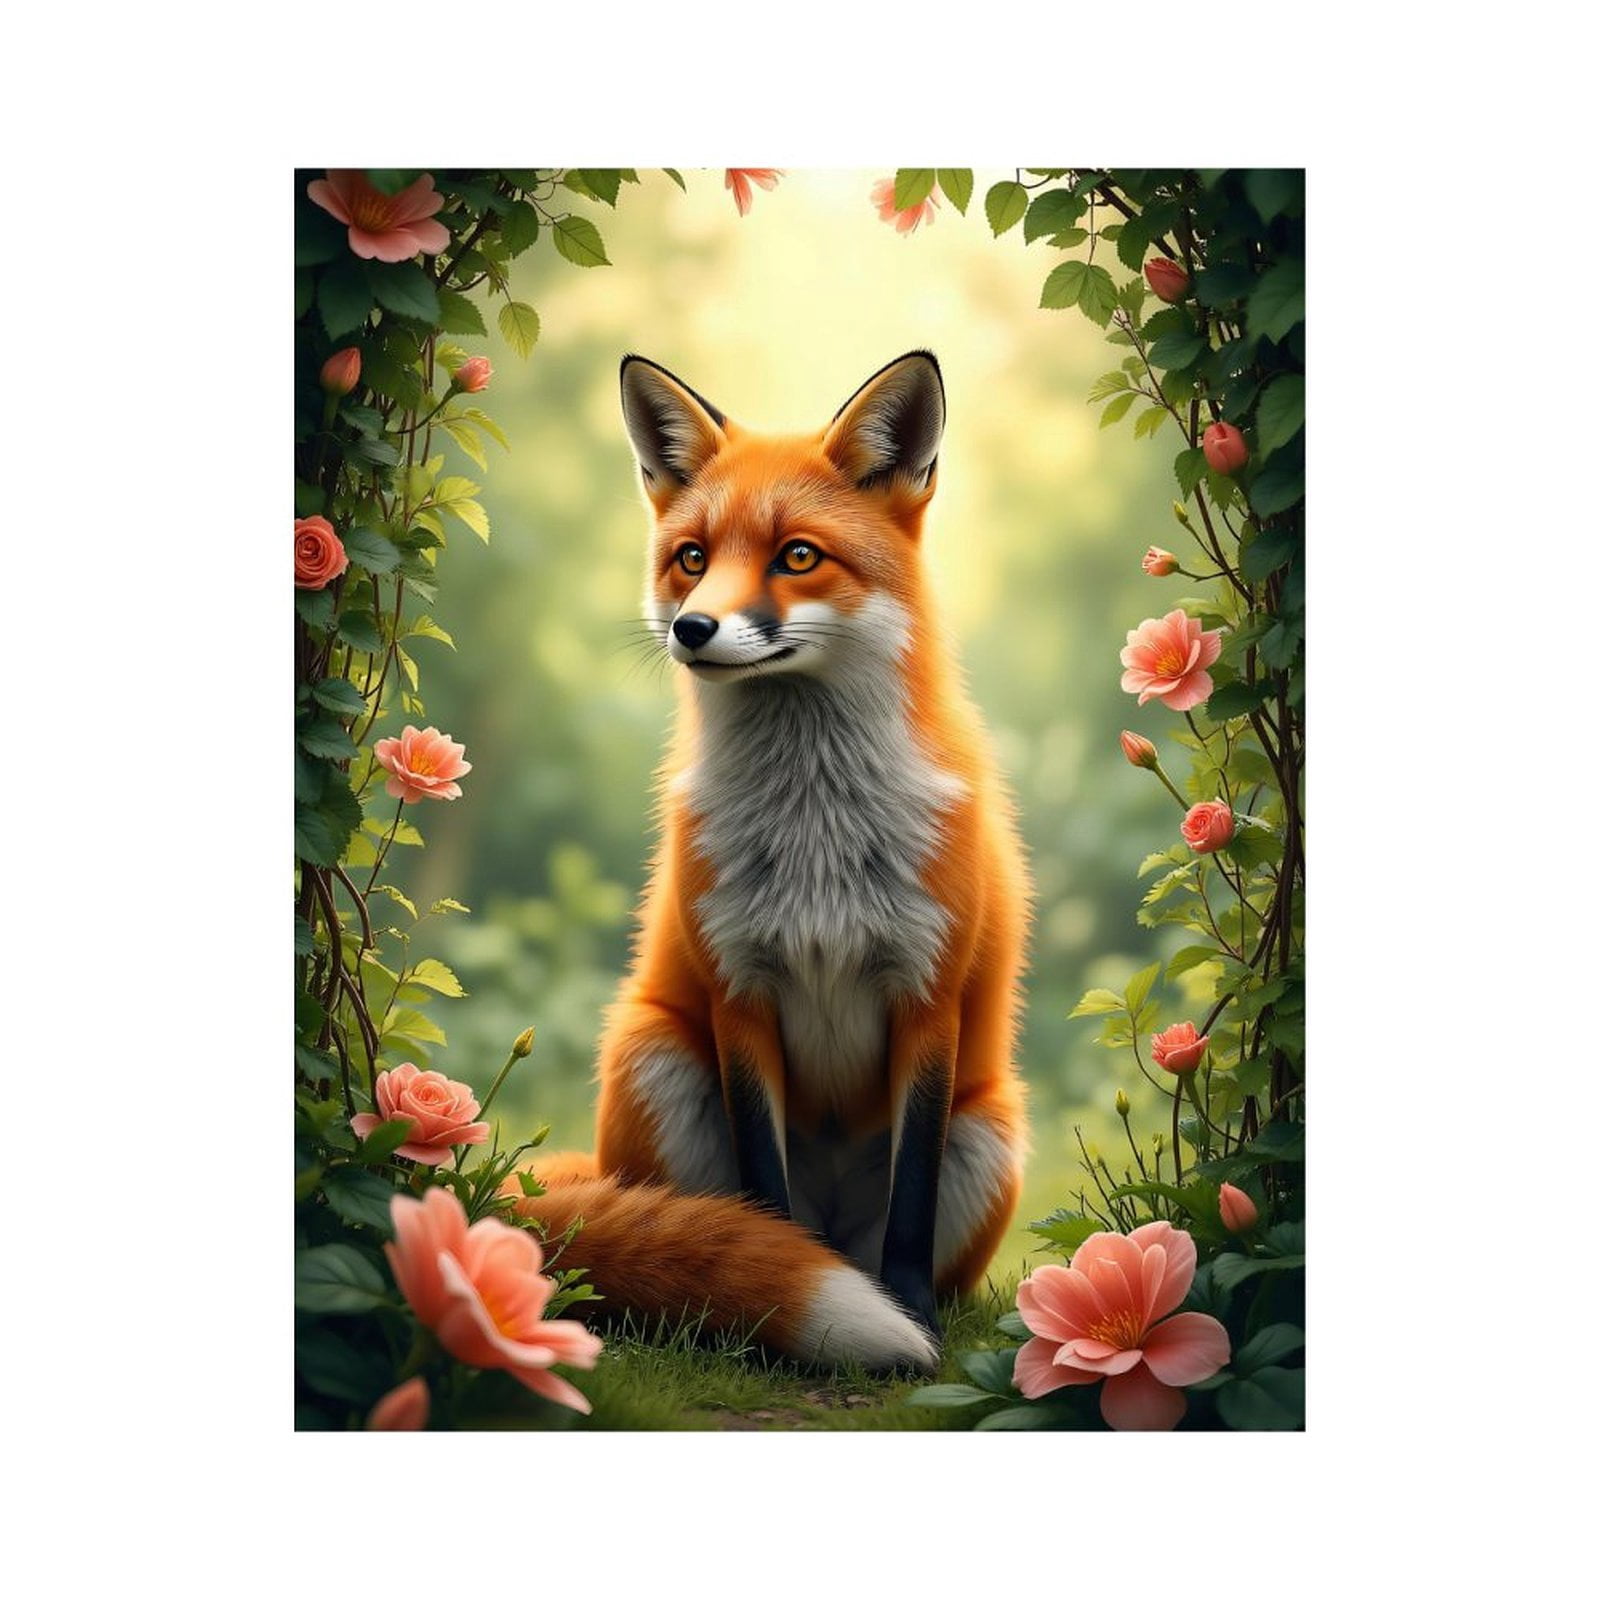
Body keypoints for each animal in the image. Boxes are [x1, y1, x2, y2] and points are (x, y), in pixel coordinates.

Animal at [514, 350, 1030, 1373]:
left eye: (798, 556)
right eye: (692, 559)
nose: (692, 629)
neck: (814, 830)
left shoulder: (928, 994)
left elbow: (912, 1201)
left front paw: (912, 1315)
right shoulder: (739, 993)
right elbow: (762, 1194)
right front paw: (766, 1284)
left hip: (992, 1126)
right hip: (655, 1052)